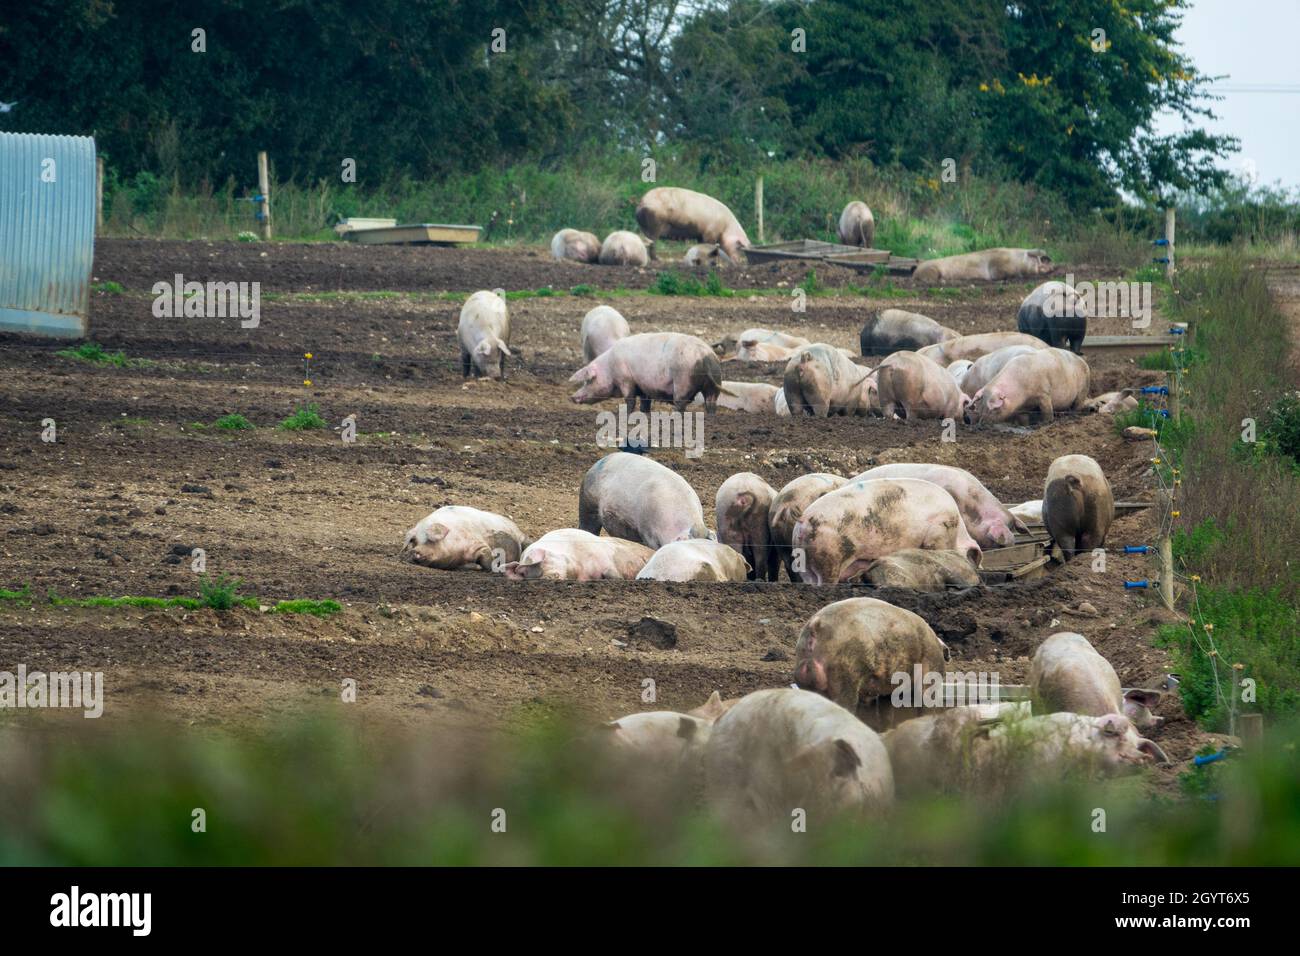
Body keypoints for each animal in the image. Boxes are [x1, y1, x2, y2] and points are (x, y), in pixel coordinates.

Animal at [570, 332, 722, 414]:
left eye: (589, 381)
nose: (572, 397)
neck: (609, 368)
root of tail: (703, 355)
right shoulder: (643, 386)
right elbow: (644, 403)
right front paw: (644, 413)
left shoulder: (625, 380)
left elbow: (630, 400)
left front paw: (626, 414)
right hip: (714, 383)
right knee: (711, 403)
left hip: (682, 382)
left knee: (680, 404)